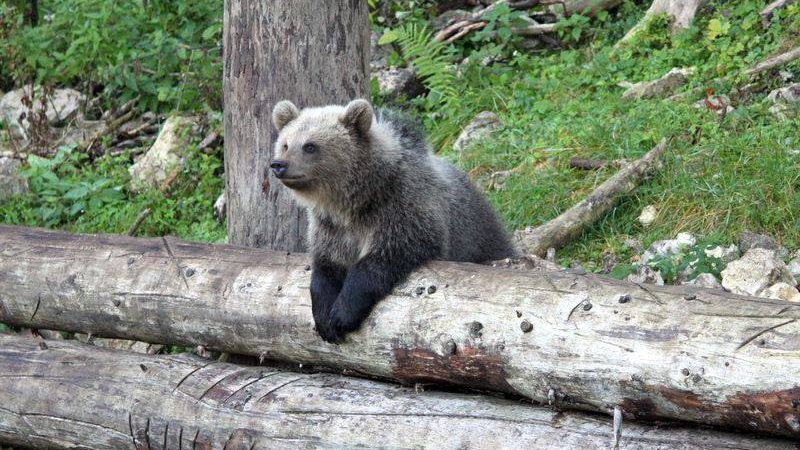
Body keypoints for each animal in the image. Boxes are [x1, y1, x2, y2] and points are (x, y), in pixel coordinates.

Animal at [271, 99, 517, 343]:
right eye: (285, 144)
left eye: (310, 146)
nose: (278, 165)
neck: (354, 201)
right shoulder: (331, 227)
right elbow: (326, 266)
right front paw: (324, 318)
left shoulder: (401, 208)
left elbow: (385, 258)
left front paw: (342, 315)